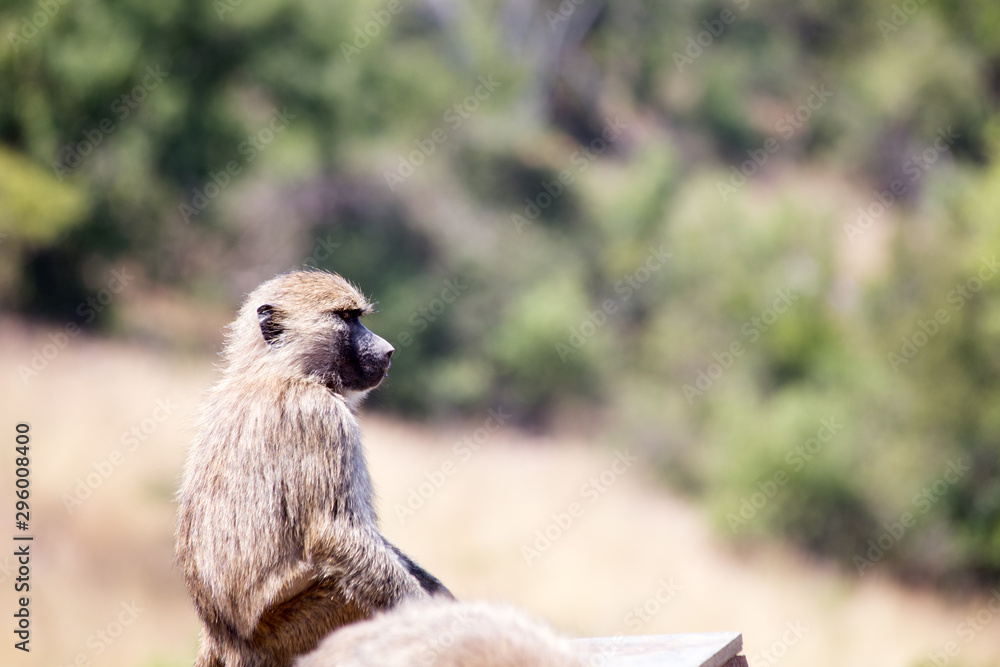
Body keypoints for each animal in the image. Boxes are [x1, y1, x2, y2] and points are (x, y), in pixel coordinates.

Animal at [176, 270, 452, 667]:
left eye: (357, 316)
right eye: (346, 317)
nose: (387, 351)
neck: (280, 369)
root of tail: (222, 637)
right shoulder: (320, 415)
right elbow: (336, 534)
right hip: (295, 626)